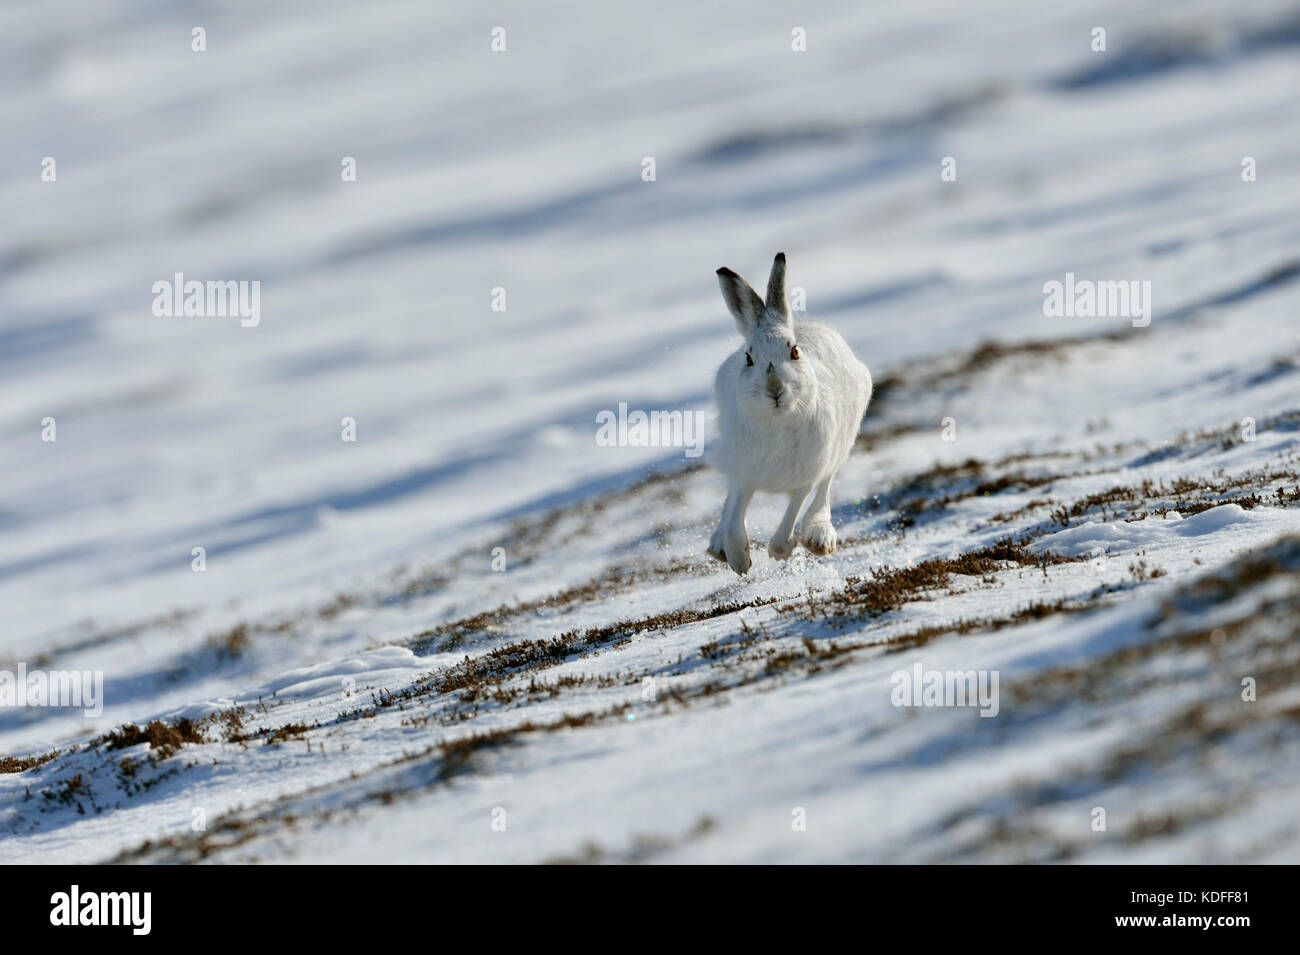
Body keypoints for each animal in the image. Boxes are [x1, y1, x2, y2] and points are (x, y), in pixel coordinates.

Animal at [706, 253, 872, 574]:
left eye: (794, 351)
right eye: (748, 358)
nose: (775, 390)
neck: (776, 423)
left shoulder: (806, 475)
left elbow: (792, 516)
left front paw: (780, 551)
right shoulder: (744, 472)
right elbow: (735, 516)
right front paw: (739, 559)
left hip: (839, 448)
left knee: (824, 489)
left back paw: (819, 537)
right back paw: (717, 545)